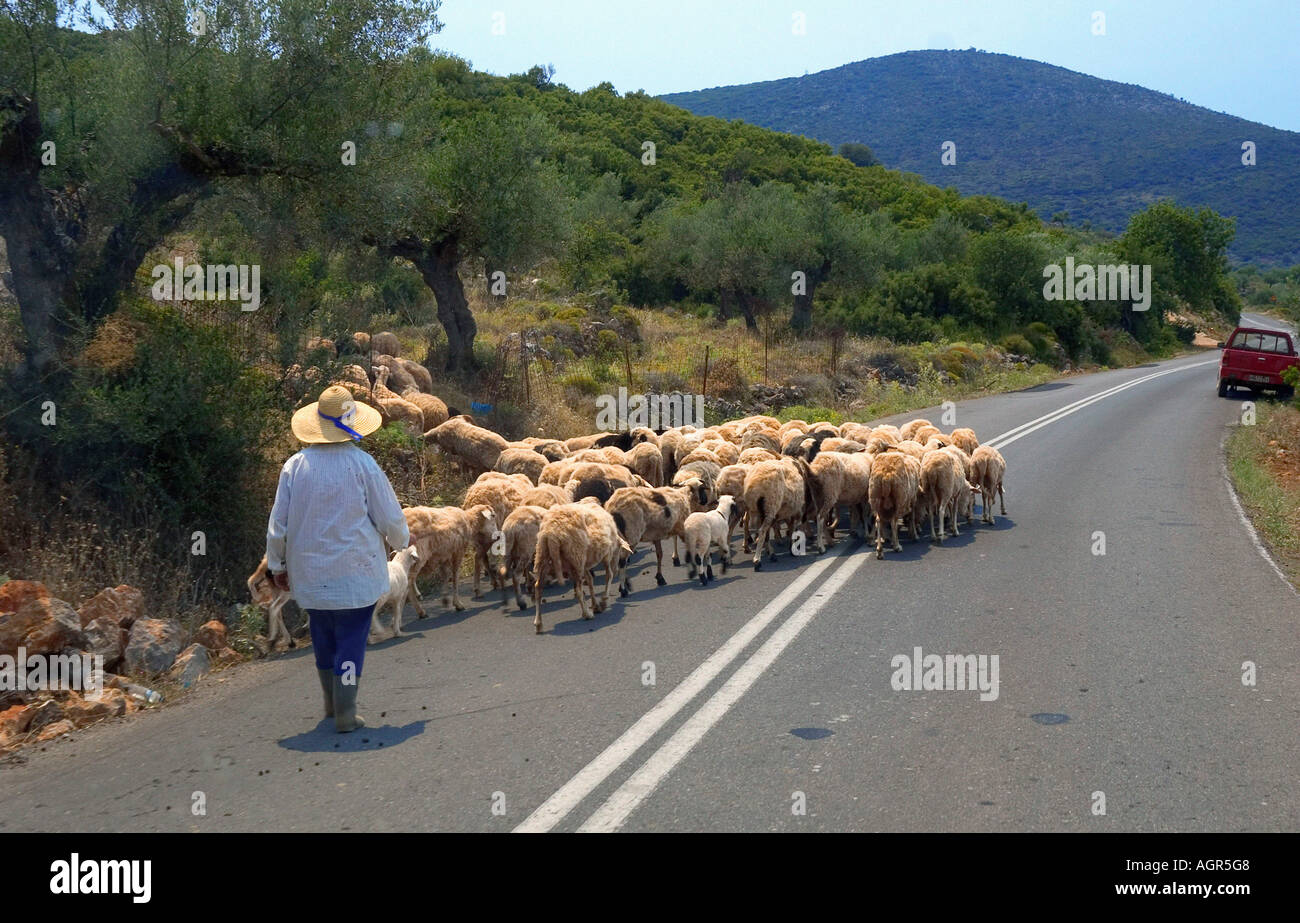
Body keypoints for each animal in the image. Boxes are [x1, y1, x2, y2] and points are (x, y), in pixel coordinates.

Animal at [533, 502, 631, 633]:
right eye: (621, 551)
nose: (621, 563)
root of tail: (550, 534)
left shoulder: (585, 563)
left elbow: (590, 580)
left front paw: (596, 605)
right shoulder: (606, 554)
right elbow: (608, 575)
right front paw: (603, 601)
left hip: (543, 557)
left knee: (538, 588)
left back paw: (538, 624)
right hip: (576, 557)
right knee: (578, 590)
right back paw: (586, 614)